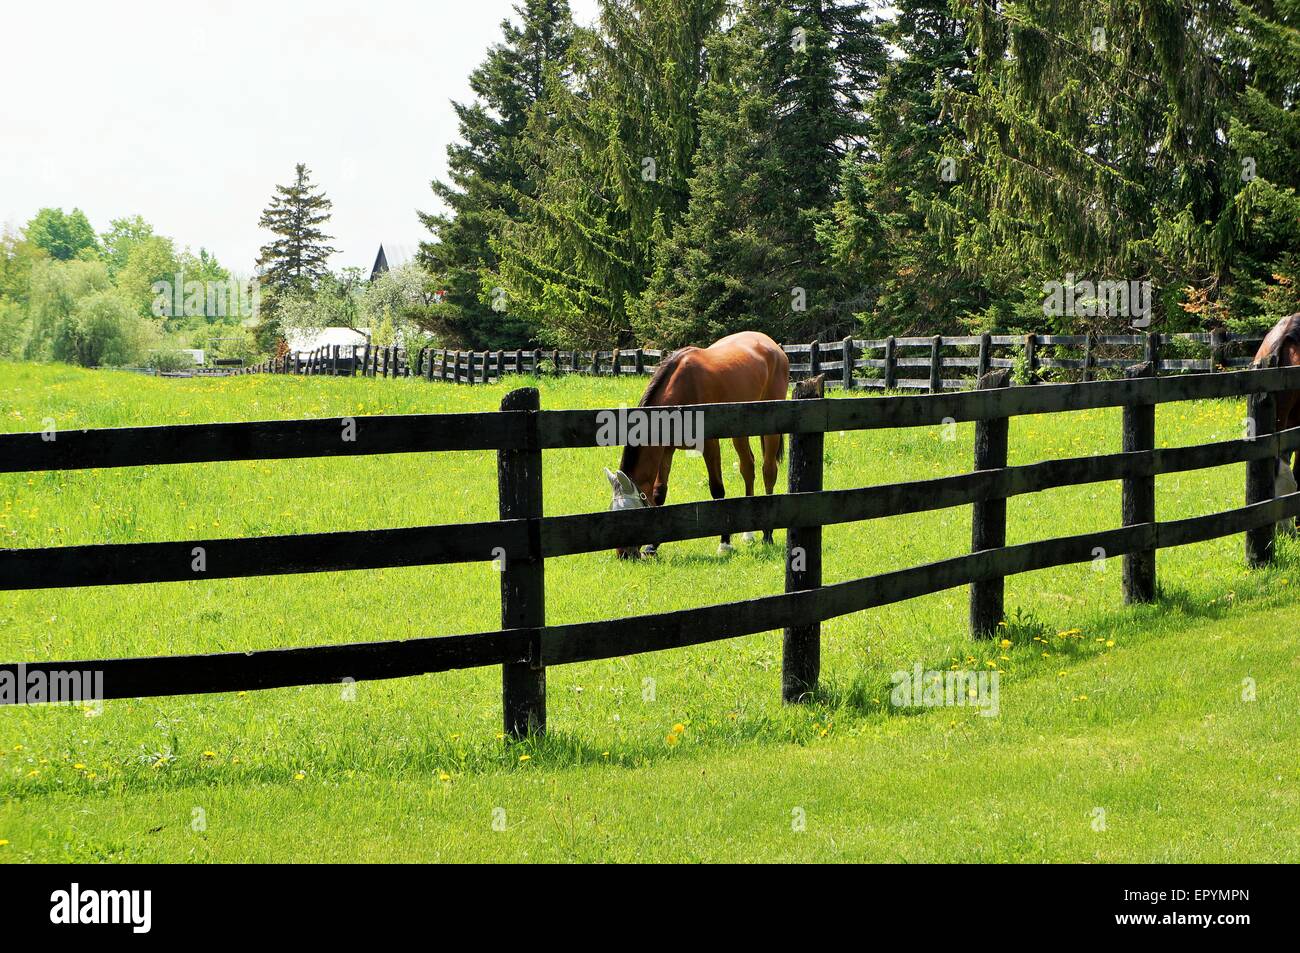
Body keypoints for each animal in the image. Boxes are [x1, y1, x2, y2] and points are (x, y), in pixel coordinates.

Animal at [603, 331, 790, 558]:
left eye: (629, 514)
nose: (623, 554)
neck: (682, 389)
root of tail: (773, 346)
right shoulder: (666, 451)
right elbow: (659, 493)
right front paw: (653, 546)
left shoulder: (710, 445)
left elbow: (717, 490)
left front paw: (724, 543)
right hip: (740, 431)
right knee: (748, 468)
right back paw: (749, 534)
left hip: (771, 429)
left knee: (768, 471)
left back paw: (767, 534)